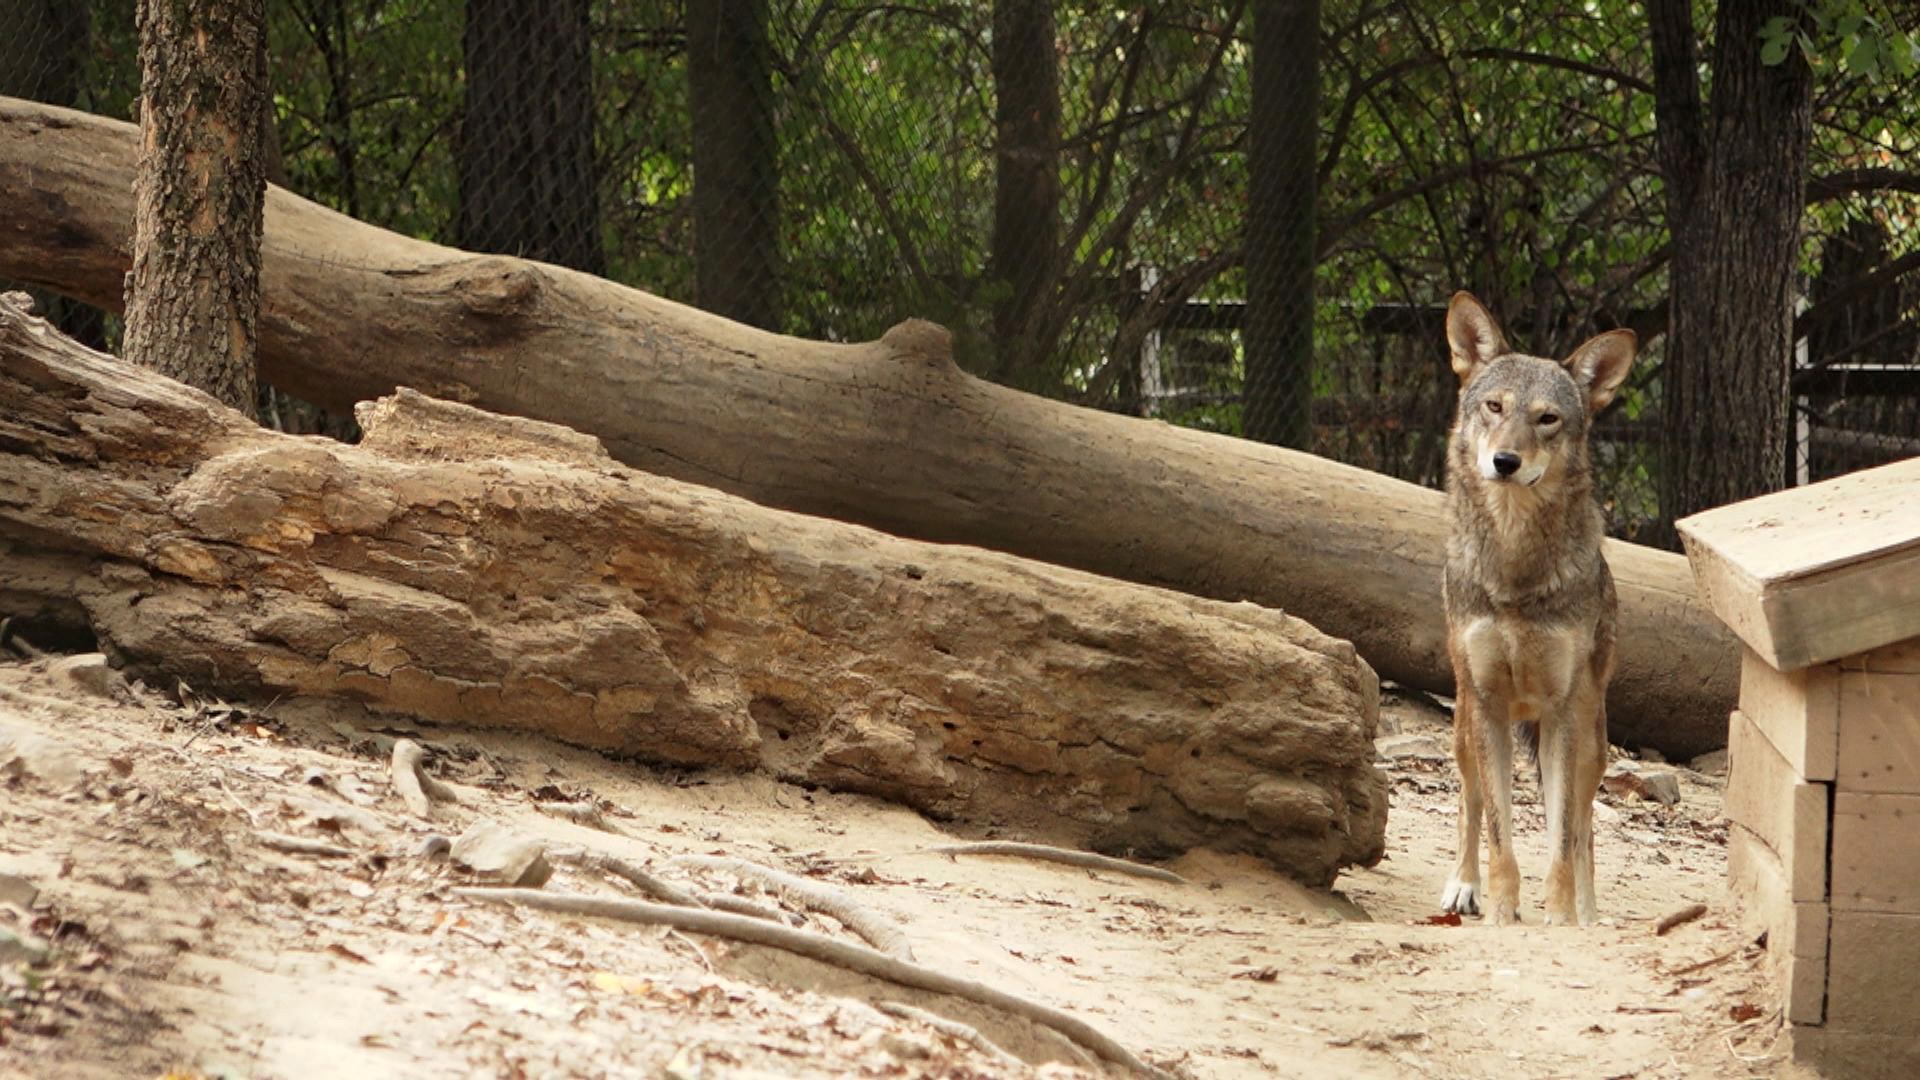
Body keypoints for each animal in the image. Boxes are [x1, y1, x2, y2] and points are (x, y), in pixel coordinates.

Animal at [1437, 291, 1636, 927]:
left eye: (1548, 419)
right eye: (1495, 407)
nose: (1505, 461)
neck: (1515, 575)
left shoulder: (1562, 712)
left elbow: (1564, 841)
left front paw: (1564, 918)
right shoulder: (1489, 707)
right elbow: (1500, 835)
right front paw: (1501, 912)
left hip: (1590, 741)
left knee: (1584, 828)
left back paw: (1589, 914)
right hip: (1464, 728)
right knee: (1470, 804)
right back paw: (1462, 887)